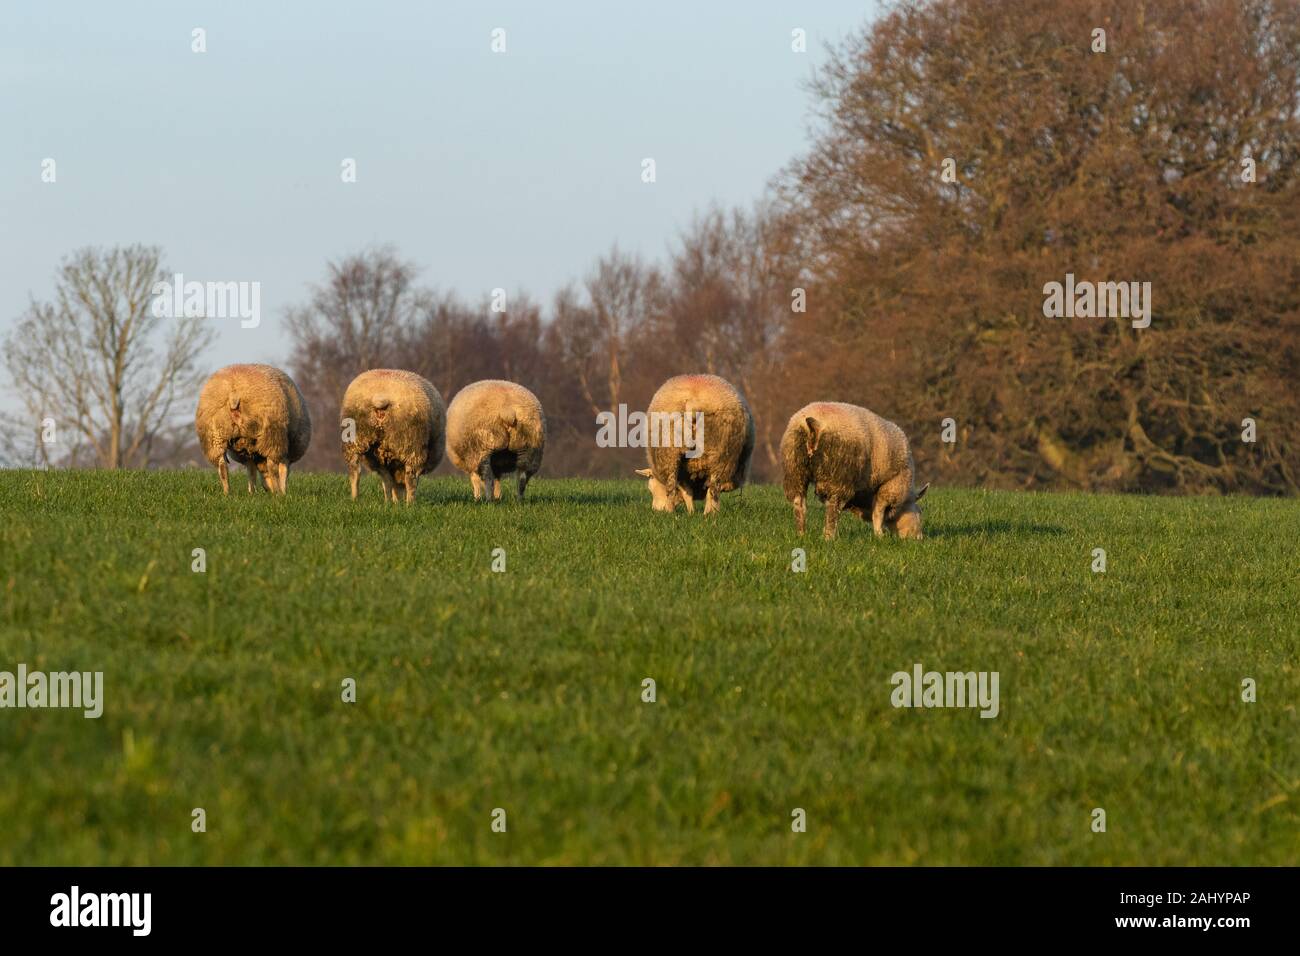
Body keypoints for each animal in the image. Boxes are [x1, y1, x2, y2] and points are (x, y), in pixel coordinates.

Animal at [195, 364, 312, 495]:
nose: (269, 490)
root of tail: (234, 394)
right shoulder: (286, 452)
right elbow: (283, 471)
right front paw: (283, 492)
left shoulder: (247, 452)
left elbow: (251, 471)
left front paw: (252, 493)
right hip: (272, 432)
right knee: (272, 465)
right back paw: (277, 492)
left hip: (214, 436)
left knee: (222, 466)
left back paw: (227, 493)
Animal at [340, 369, 447, 504]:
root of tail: (381, 398)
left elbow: (387, 481)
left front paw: (392, 502)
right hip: (412, 444)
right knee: (410, 478)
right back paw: (410, 503)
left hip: (355, 440)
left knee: (355, 471)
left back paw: (356, 498)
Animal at [634, 373, 754, 515]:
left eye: (651, 488)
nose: (656, 510)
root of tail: (693, 403)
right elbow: (689, 492)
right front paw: (691, 512)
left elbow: (686, 492)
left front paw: (690, 512)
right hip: (720, 452)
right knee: (713, 488)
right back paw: (710, 513)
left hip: (670, 452)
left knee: (673, 486)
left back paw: (674, 512)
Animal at [781, 402, 929, 540]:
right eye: (919, 512)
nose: (919, 538)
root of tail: (814, 423)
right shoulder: (889, 487)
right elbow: (878, 513)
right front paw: (879, 535)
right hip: (839, 473)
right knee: (833, 507)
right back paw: (829, 537)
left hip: (795, 468)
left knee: (799, 503)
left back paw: (801, 534)